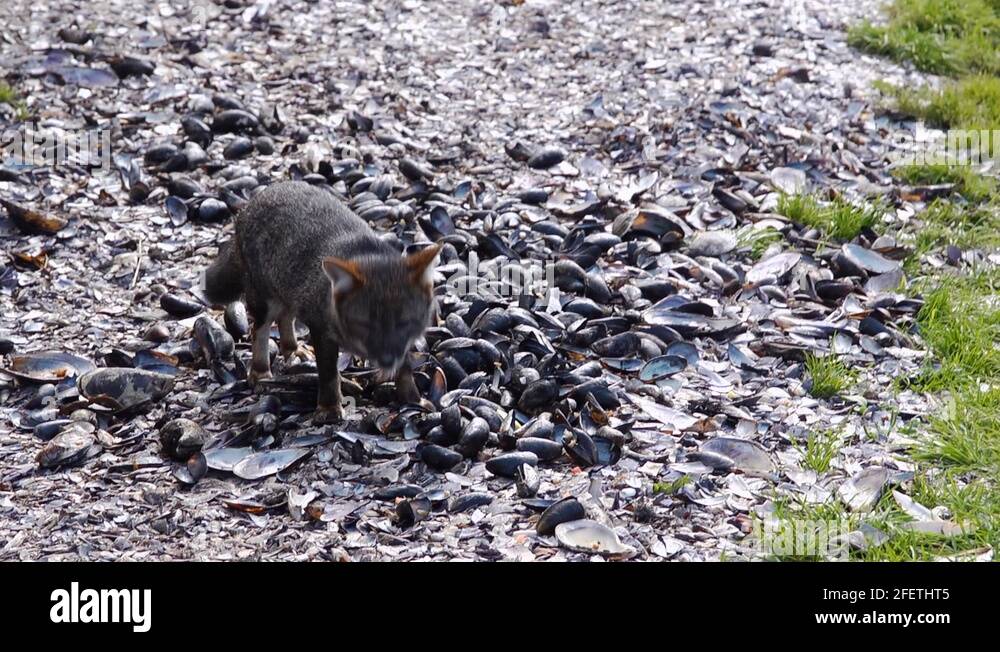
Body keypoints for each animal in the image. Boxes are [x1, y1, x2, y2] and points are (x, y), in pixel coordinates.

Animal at [202, 181, 440, 423]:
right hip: (264, 300)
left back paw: (292, 348)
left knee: (285, 317)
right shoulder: (321, 330)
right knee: (259, 330)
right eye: (365, 325)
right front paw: (329, 408)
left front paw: (413, 399)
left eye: (405, 323)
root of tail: (252, 203)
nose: (387, 361)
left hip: (289, 290)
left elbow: (406, 369)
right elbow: (328, 375)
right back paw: (260, 373)